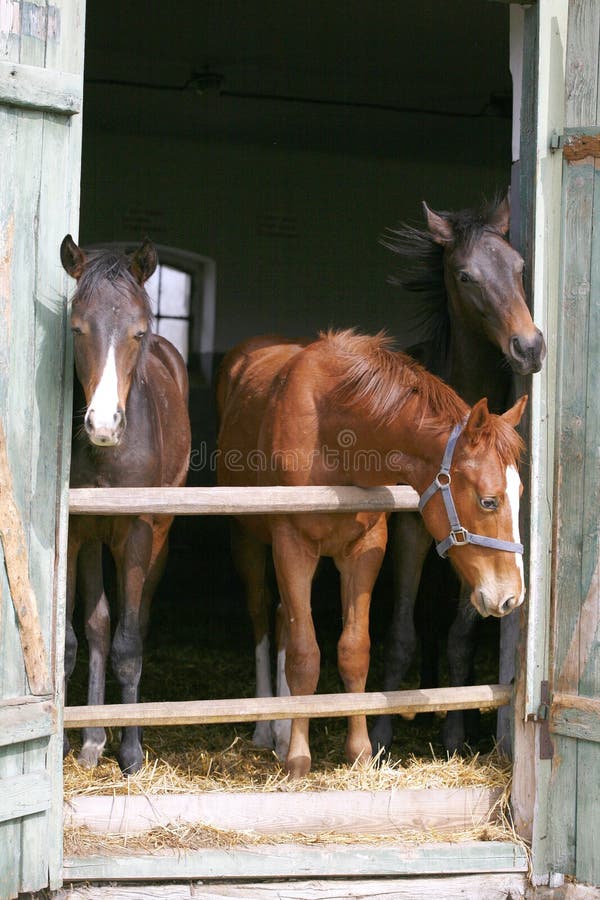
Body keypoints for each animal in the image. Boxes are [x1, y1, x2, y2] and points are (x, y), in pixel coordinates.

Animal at [216, 328, 528, 777]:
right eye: (489, 501)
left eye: (519, 493)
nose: (511, 596)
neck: (334, 433)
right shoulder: (292, 545)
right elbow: (305, 656)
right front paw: (298, 758)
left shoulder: (366, 550)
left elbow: (354, 650)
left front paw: (360, 752)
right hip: (249, 539)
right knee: (261, 615)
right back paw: (265, 727)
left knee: (282, 617)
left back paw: (280, 729)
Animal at [369, 195, 546, 756]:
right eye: (466, 276)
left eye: (519, 266)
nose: (529, 346)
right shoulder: (411, 531)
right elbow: (402, 634)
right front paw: (381, 734)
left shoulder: (481, 541)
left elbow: (461, 638)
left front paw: (453, 732)